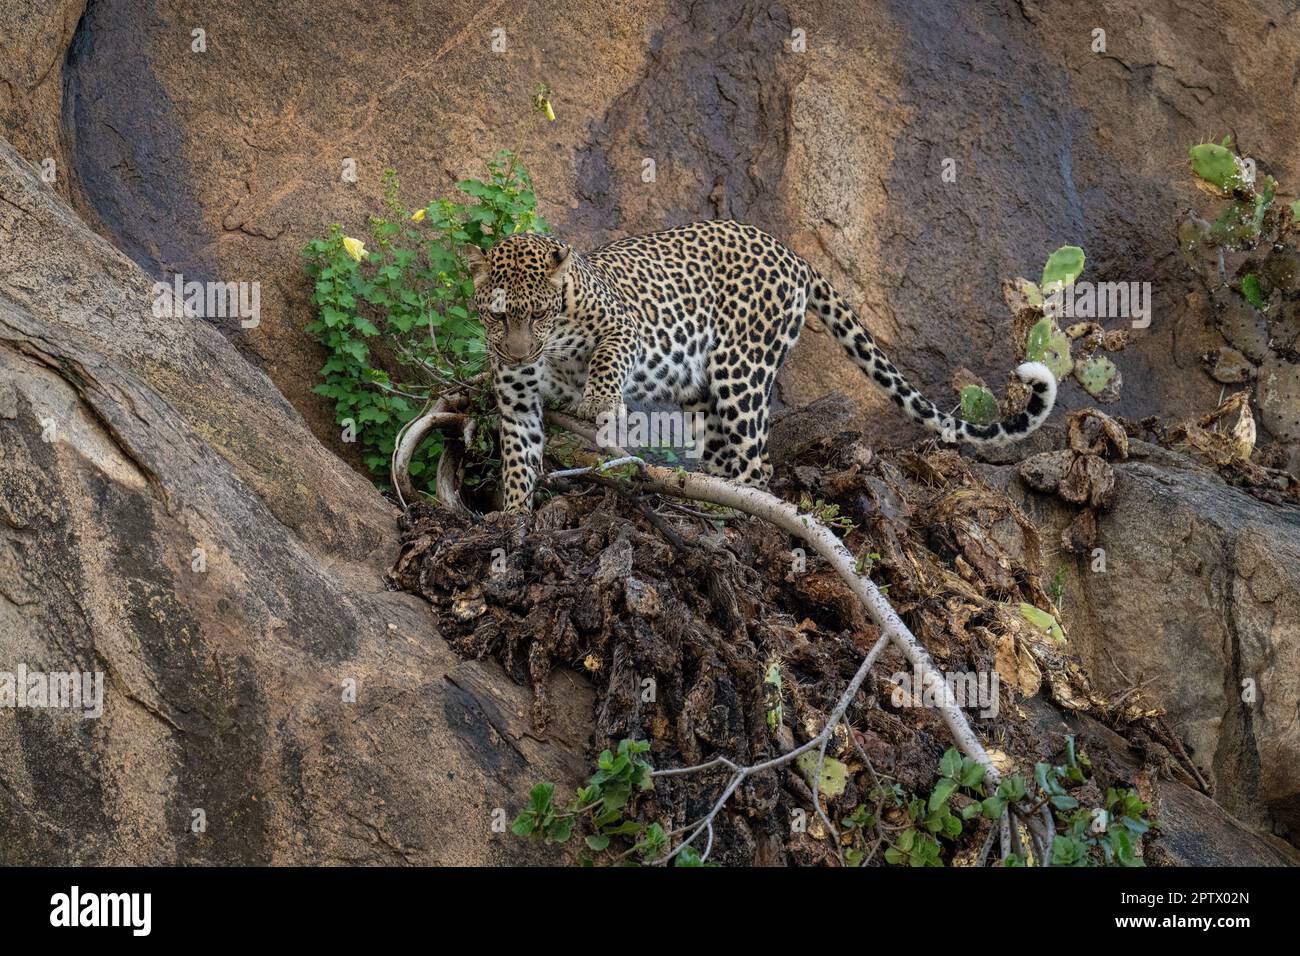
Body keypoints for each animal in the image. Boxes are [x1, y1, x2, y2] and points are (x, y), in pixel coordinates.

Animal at [464, 219, 1056, 514]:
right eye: (496, 315)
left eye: (538, 313)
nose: (519, 352)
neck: (552, 346)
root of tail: (793, 253)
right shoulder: (517, 403)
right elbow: (518, 462)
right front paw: (512, 522)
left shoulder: (625, 323)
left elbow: (608, 355)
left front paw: (597, 400)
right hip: (702, 389)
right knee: (721, 452)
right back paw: (705, 487)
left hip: (741, 369)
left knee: (759, 467)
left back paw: (732, 514)